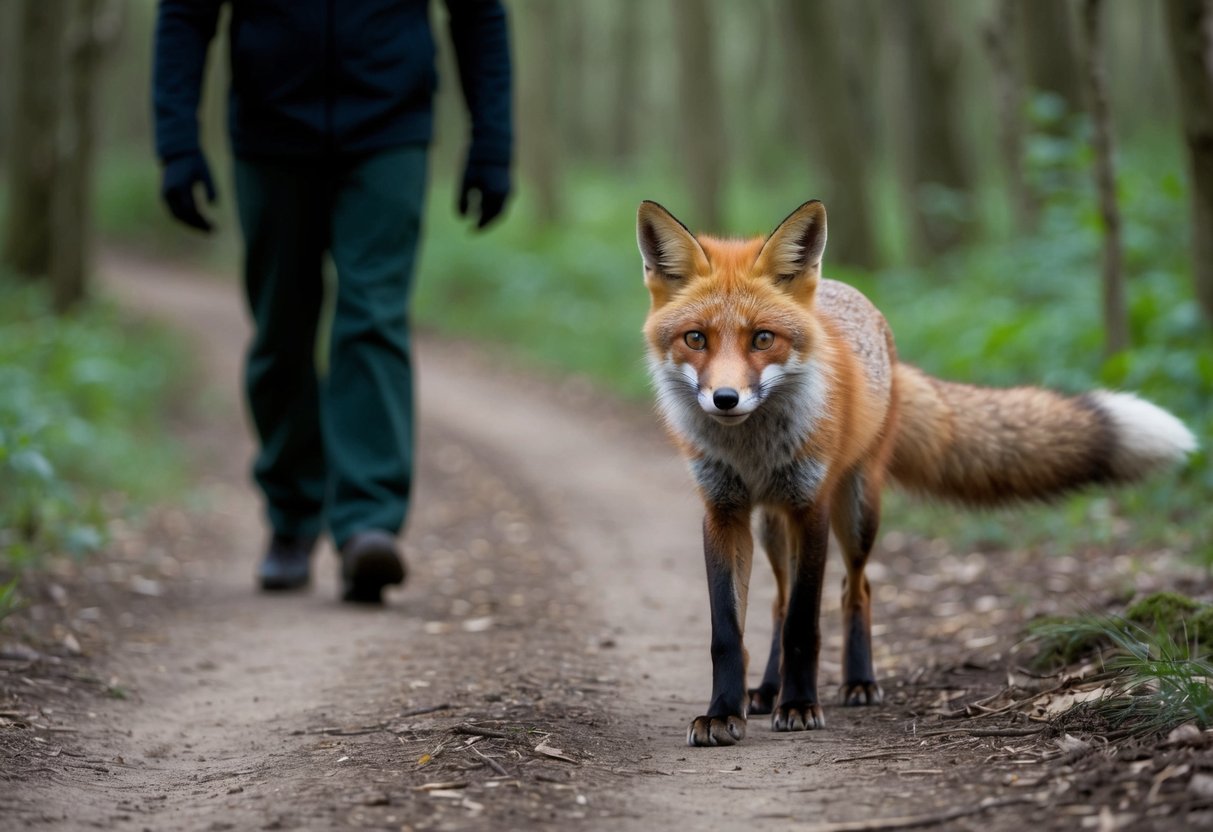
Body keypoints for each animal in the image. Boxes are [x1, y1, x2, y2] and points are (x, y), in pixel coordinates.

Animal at [637, 199, 1198, 748]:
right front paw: (722, 712)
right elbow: (728, 633)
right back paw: (767, 690)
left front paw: (799, 706)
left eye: (762, 339)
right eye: (695, 339)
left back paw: (856, 682)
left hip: (856, 508)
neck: (751, 451)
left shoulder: (810, 507)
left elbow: (804, 626)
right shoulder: (722, 511)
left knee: (855, 590)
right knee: (777, 603)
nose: (725, 399)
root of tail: (855, 302)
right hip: (775, 527)